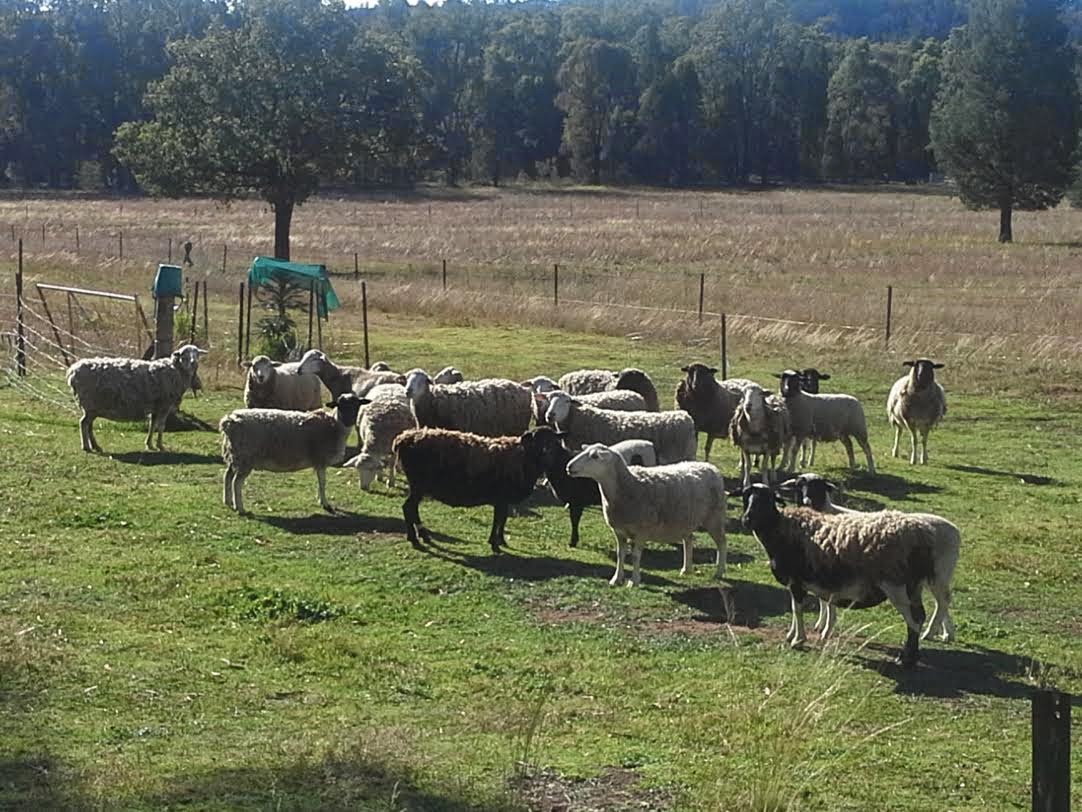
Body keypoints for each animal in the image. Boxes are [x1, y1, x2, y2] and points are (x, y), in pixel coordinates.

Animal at [66, 344, 207, 453]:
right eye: (184, 355)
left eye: (197, 354)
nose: (193, 362)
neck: (176, 371)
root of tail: (72, 371)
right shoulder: (164, 406)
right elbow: (161, 426)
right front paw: (160, 446)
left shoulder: (156, 408)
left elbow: (152, 426)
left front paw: (149, 444)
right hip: (90, 404)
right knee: (83, 423)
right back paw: (86, 447)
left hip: (91, 407)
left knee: (88, 425)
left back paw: (95, 446)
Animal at [220, 393, 368, 515]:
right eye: (340, 405)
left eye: (357, 405)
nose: (349, 421)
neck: (334, 425)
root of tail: (230, 421)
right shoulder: (321, 460)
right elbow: (323, 482)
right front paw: (325, 503)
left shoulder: (319, 462)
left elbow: (320, 482)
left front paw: (320, 500)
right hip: (244, 458)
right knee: (236, 482)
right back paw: (240, 508)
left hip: (234, 456)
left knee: (227, 476)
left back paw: (227, 502)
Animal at [393, 427, 546, 553]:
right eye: (540, 443)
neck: (522, 457)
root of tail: (403, 439)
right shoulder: (500, 499)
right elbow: (498, 520)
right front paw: (495, 544)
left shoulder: (503, 501)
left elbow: (502, 520)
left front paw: (501, 541)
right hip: (418, 485)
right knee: (408, 508)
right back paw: (414, 538)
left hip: (418, 487)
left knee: (412, 508)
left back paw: (423, 536)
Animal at [566, 444, 729, 598]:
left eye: (595, 456)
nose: (568, 467)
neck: (627, 487)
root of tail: (711, 467)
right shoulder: (619, 531)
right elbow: (620, 554)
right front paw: (616, 579)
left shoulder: (641, 531)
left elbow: (635, 556)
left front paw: (634, 581)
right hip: (685, 519)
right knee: (688, 540)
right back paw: (686, 569)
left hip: (714, 516)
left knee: (721, 542)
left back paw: (719, 572)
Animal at [740, 483, 960, 667]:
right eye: (745, 497)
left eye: (767, 499)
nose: (747, 520)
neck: (781, 529)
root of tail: (923, 534)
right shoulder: (797, 583)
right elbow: (799, 608)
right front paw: (792, 635)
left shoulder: (796, 580)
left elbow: (798, 609)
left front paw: (797, 640)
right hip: (913, 585)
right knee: (921, 614)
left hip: (897, 584)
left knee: (916, 619)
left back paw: (908, 658)